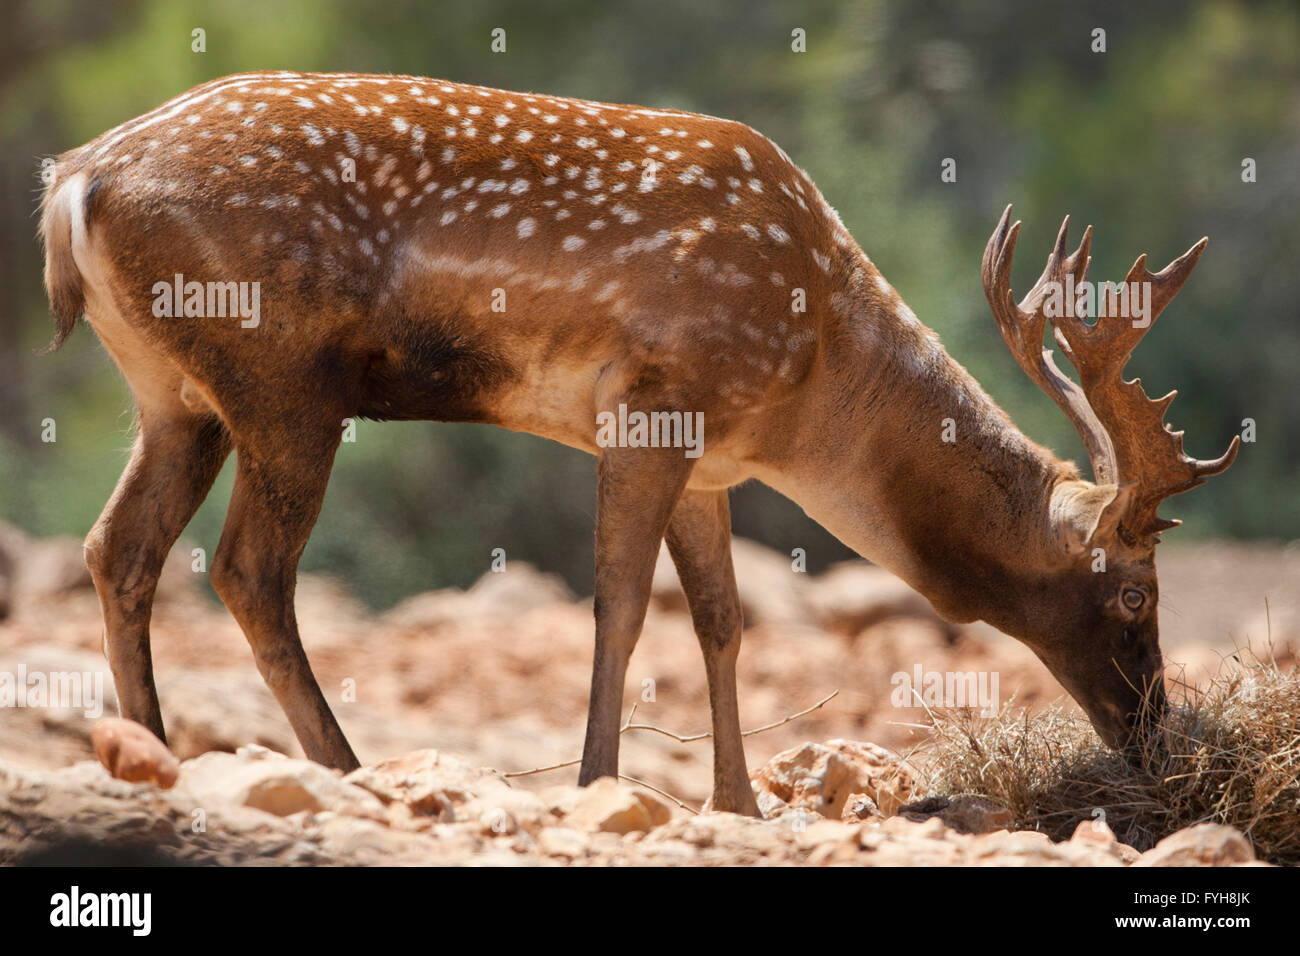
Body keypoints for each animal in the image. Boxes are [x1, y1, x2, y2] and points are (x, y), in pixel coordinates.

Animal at [39, 71, 1238, 817]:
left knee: (119, 548)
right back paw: (350, 767)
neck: (813, 380)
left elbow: (719, 618)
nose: (1156, 737)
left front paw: (738, 800)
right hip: (283, 383)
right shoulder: (653, 401)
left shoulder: (712, 459)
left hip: (173, 394)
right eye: (1136, 592)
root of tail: (73, 183)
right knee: (249, 568)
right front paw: (597, 782)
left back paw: (153, 758)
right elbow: (618, 602)